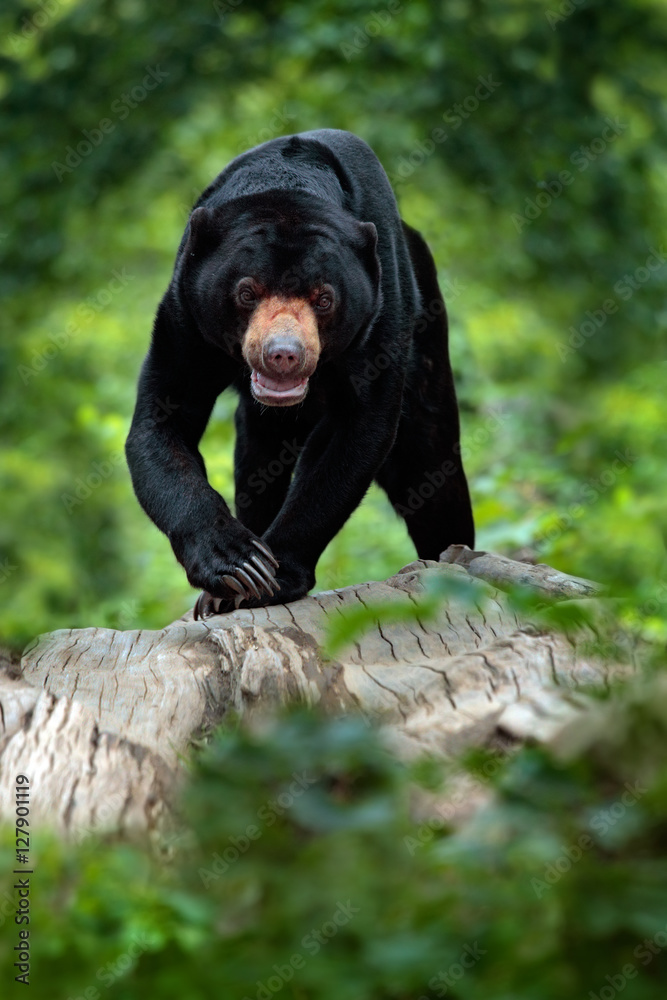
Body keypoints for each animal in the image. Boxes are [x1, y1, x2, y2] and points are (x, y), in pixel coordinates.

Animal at [125, 129, 474, 618]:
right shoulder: (185, 318)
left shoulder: (380, 317)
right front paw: (236, 568)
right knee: (257, 462)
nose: (284, 355)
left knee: (429, 466)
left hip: (426, 339)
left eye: (324, 298)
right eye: (246, 292)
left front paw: (269, 580)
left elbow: (354, 436)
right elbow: (163, 424)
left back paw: (450, 556)